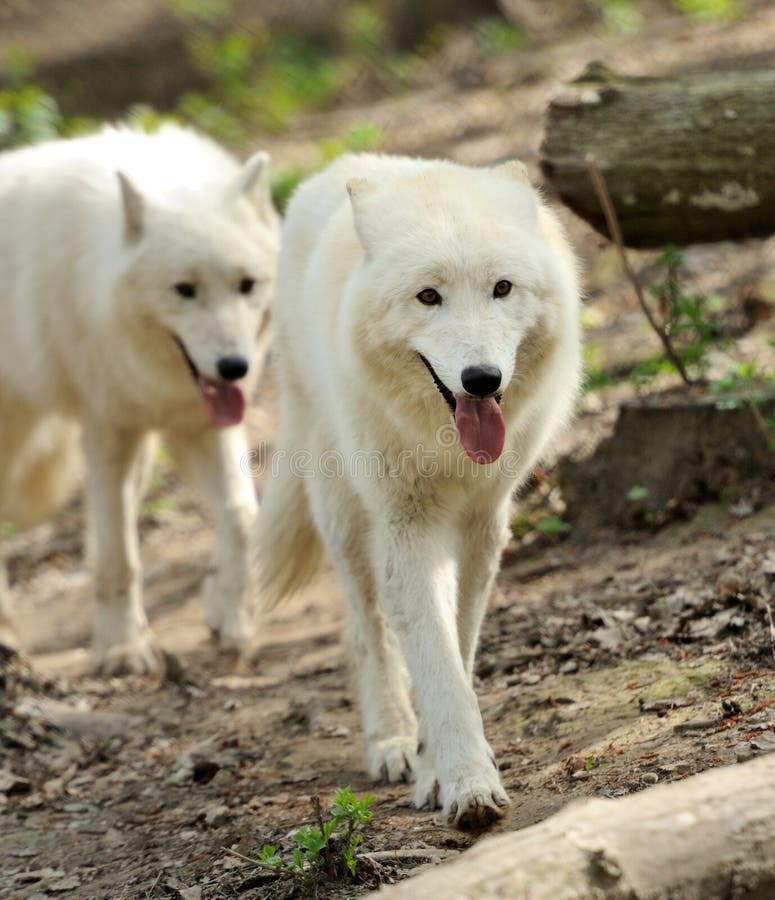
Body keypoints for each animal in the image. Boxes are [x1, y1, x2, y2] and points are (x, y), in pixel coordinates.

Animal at [0, 125, 279, 674]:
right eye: (184, 289)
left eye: (246, 285)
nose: (234, 367)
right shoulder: (108, 430)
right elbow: (119, 558)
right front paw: (123, 649)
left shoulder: (197, 422)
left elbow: (241, 514)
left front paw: (231, 615)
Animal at [256, 153, 581, 828]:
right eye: (428, 296)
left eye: (502, 288)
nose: (481, 379)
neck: (448, 448)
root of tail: (347, 164)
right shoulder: (407, 527)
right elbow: (433, 660)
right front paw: (466, 785)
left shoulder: (484, 524)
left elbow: (456, 648)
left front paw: (441, 771)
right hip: (345, 515)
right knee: (366, 630)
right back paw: (390, 740)